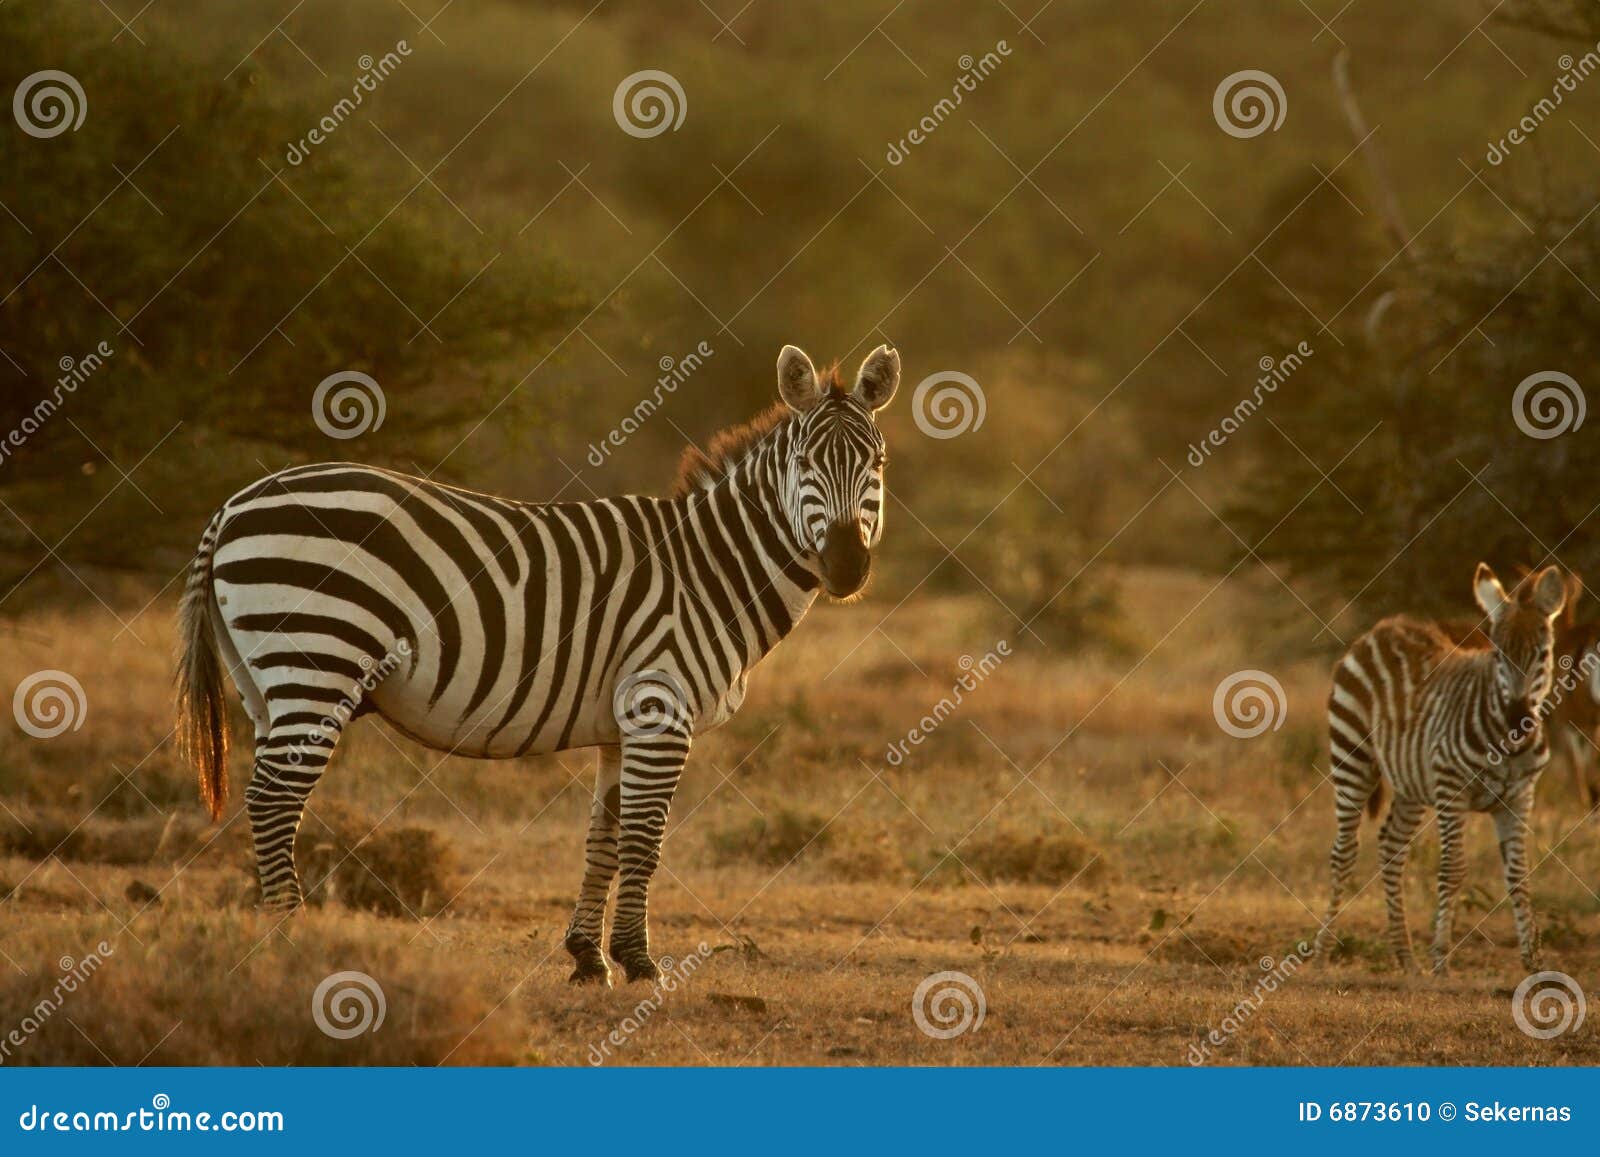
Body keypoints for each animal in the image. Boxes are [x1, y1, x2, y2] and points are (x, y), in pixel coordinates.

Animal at [176, 343, 900, 985]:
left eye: (878, 461)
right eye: (804, 461)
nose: (846, 565)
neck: (710, 569)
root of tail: (234, 503)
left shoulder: (622, 723)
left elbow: (604, 836)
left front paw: (589, 958)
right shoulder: (661, 706)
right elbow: (644, 838)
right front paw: (639, 962)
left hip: (265, 683)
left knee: (263, 796)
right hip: (318, 664)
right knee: (274, 799)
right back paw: (288, 937)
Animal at [1315, 563, 1567, 973]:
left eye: (1542, 654)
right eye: (1498, 654)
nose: (1518, 719)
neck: (1510, 746)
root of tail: (1382, 628)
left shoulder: (1520, 797)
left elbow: (1519, 876)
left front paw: (1534, 962)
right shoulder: (1452, 789)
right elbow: (1453, 869)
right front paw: (1441, 960)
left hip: (1411, 781)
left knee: (1392, 846)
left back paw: (1405, 957)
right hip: (1351, 753)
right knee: (1344, 851)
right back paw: (1322, 954)